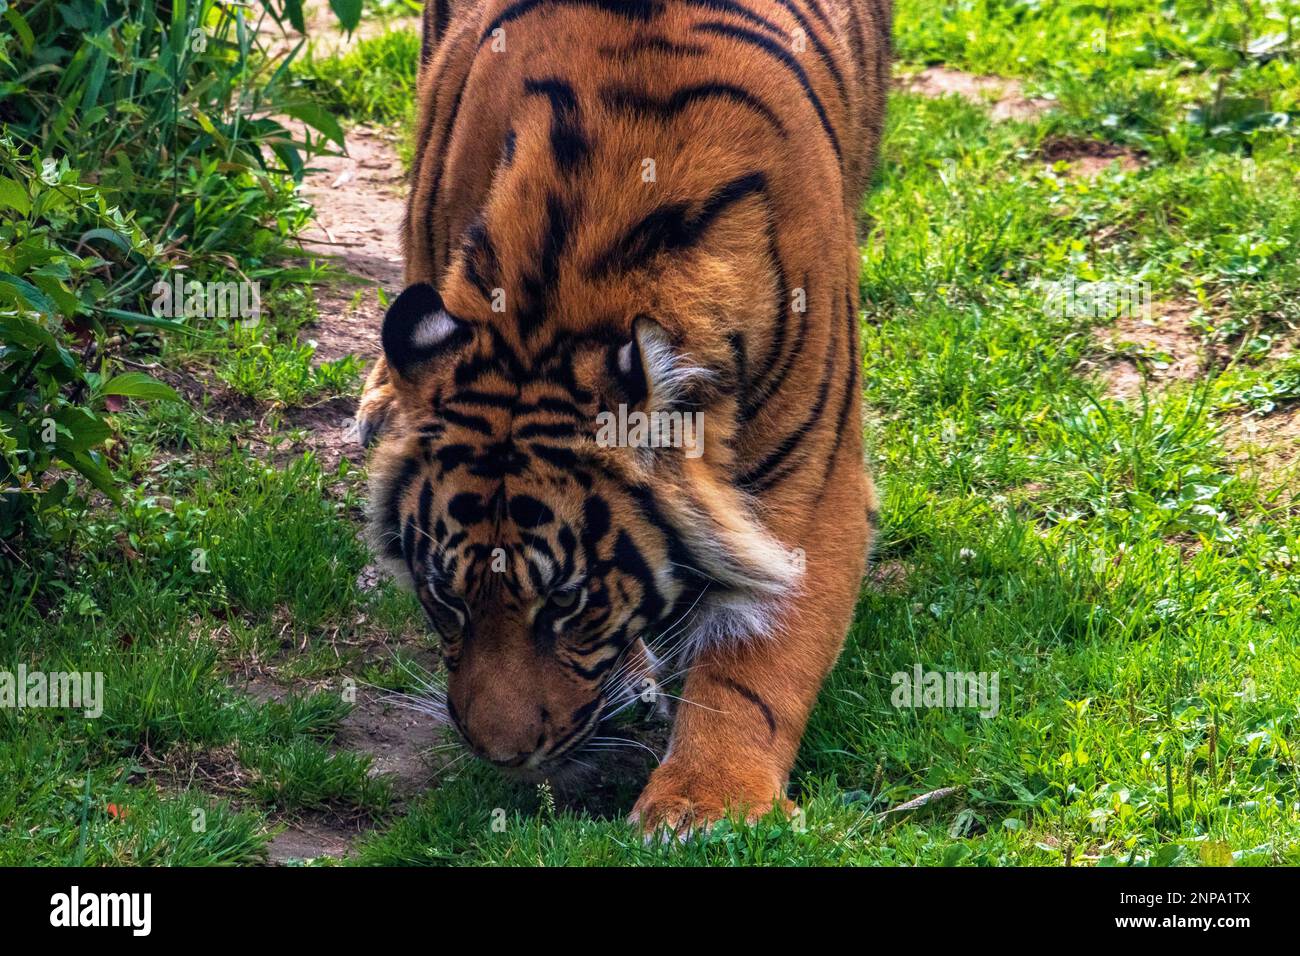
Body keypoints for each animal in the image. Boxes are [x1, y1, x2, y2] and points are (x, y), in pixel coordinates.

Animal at [356, 0, 891, 832]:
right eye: (445, 598)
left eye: (567, 604)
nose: (500, 756)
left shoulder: (812, 487)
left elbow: (758, 656)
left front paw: (707, 800)